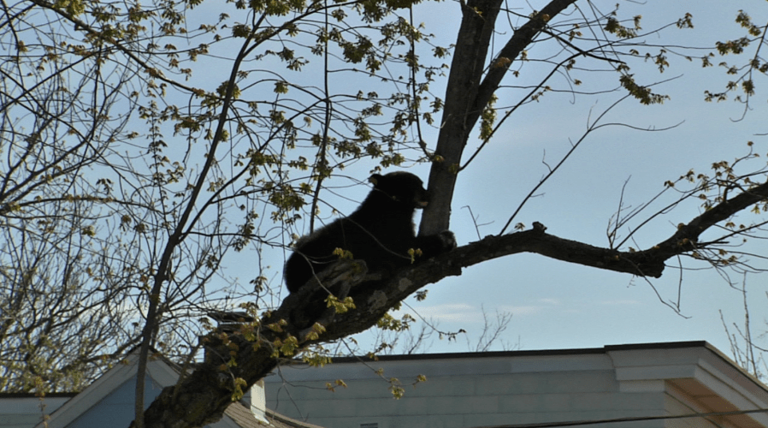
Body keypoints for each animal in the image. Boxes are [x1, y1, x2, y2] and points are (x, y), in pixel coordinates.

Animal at [284, 171, 456, 293]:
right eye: (419, 184)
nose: (429, 193)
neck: (393, 207)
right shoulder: (383, 230)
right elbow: (404, 248)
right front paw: (446, 238)